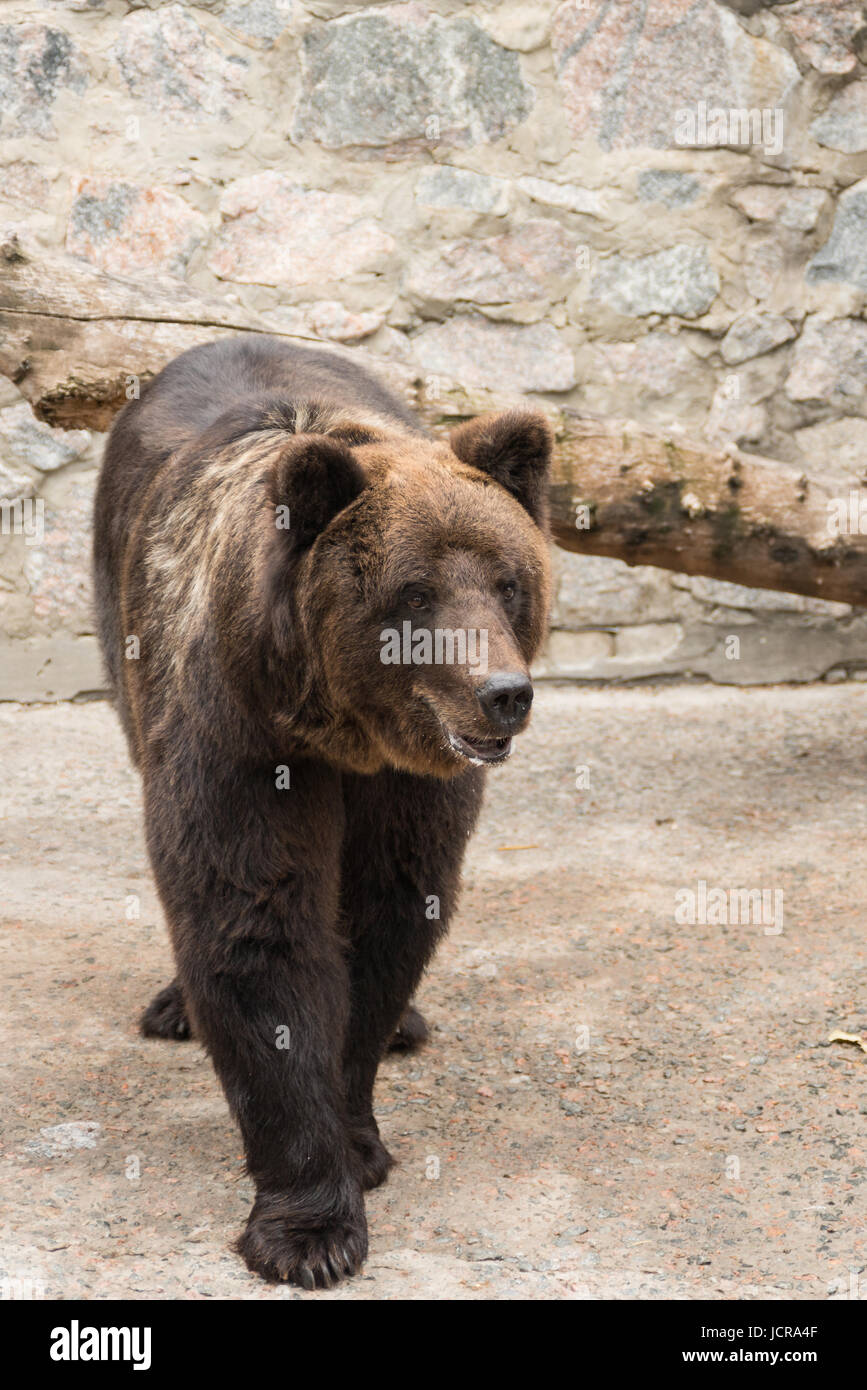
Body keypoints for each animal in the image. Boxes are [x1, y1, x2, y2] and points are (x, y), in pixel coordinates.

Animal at [93, 335, 552, 1288]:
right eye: (415, 592)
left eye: (507, 580)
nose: (503, 694)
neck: (341, 728)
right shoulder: (236, 730)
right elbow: (253, 921)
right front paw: (308, 1230)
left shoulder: (413, 784)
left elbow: (387, 914)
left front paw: (358, 1137)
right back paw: (173, 1005)